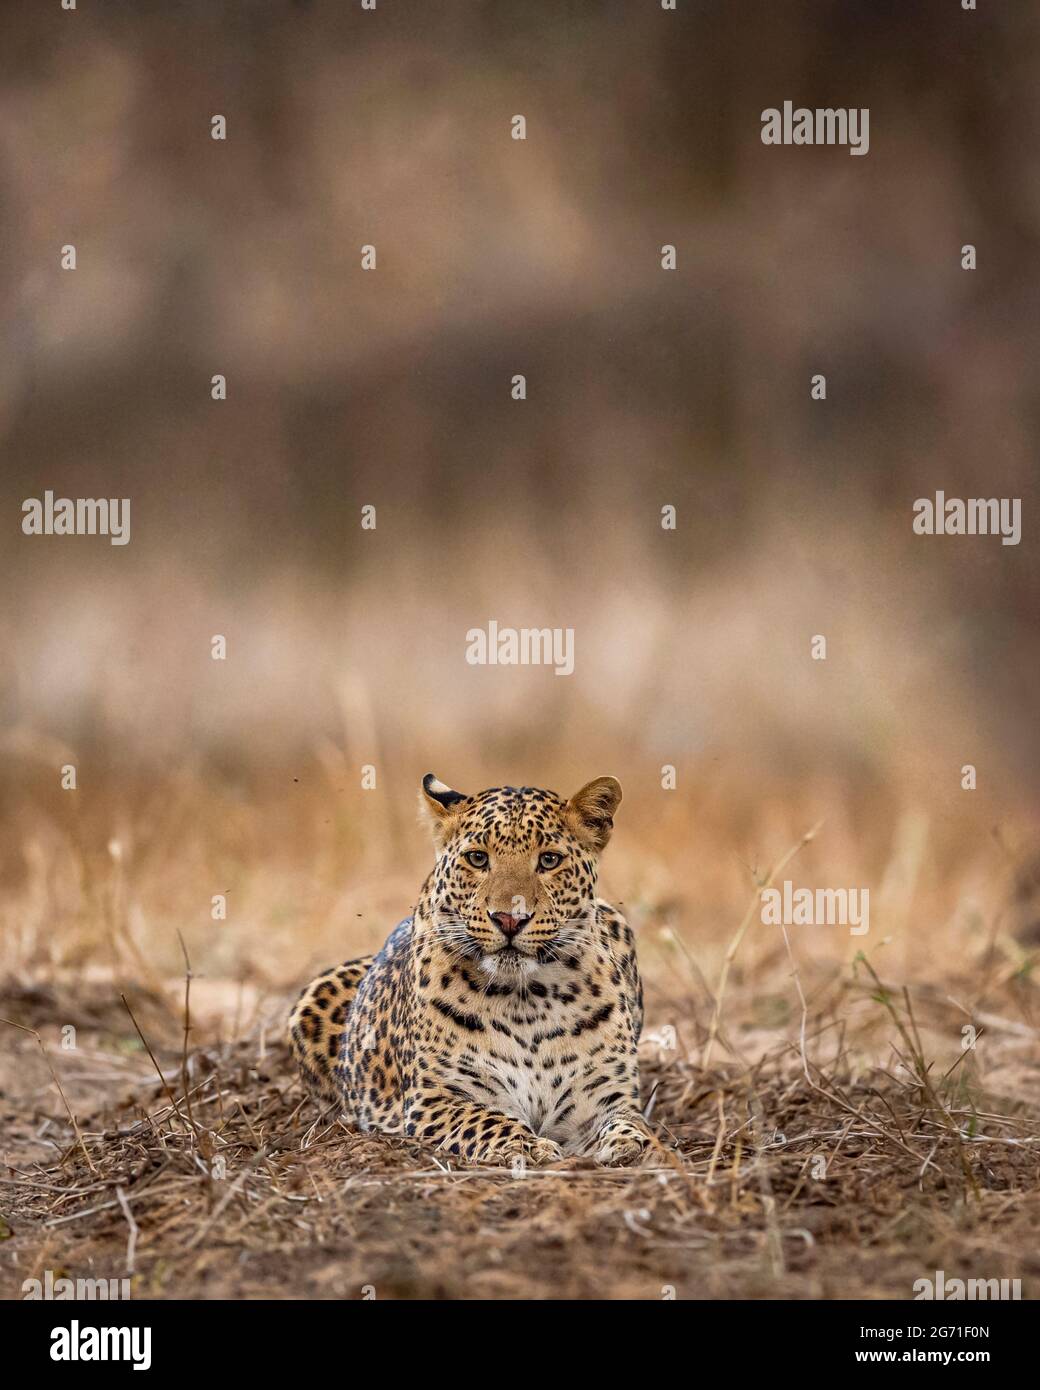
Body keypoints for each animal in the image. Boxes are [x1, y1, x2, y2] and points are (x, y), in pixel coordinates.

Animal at [289, 773, 652, 1166]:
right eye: (478, 858)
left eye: (549, 860)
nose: (510, 919)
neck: (527, 997)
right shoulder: (436, 1098)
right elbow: (489, 1121)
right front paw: (531, 1146)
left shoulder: (604, 1099)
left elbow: (631, 1125)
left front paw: (636, 1147)